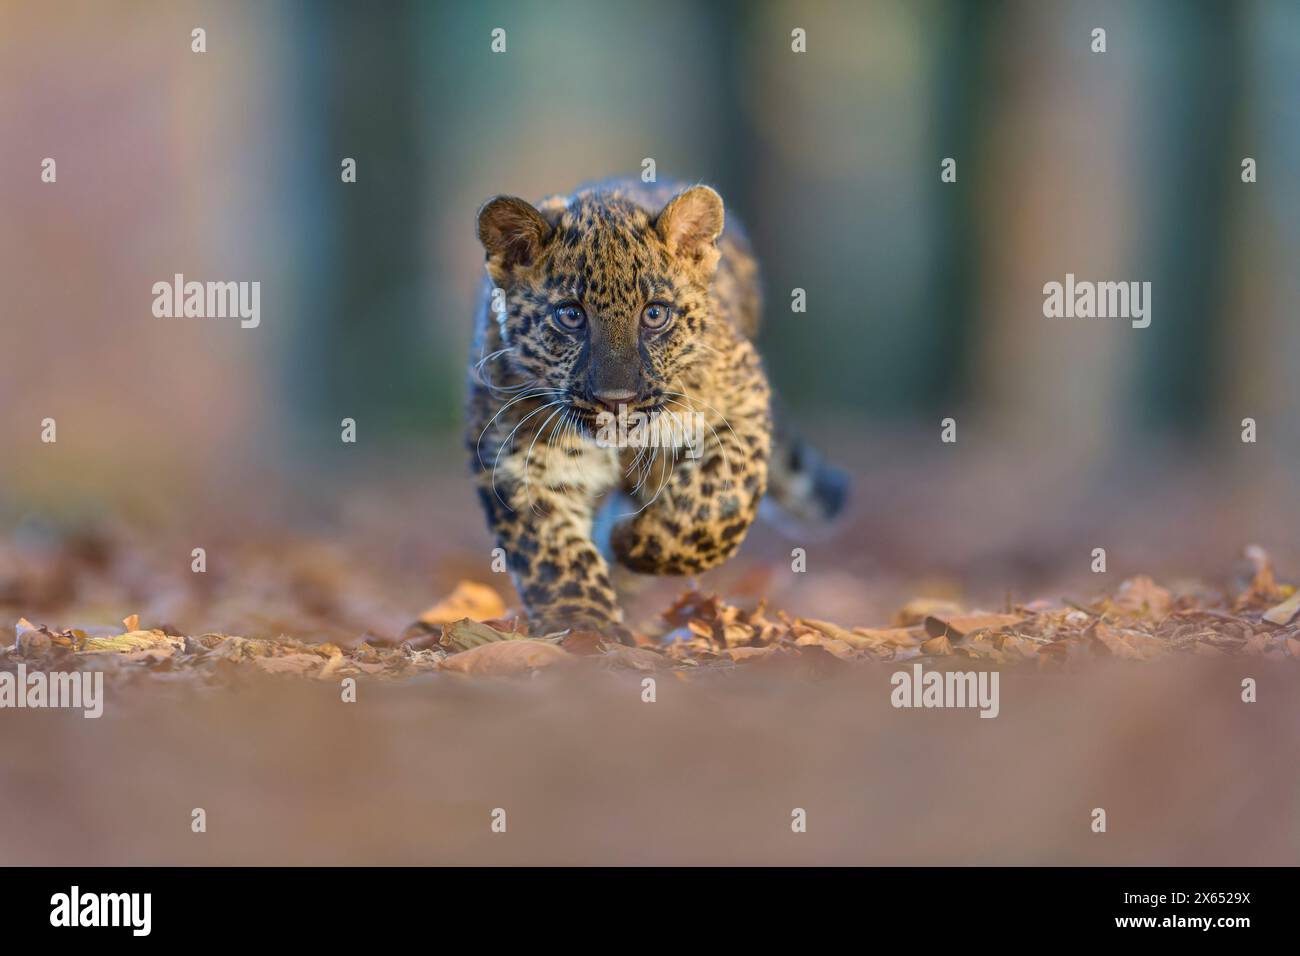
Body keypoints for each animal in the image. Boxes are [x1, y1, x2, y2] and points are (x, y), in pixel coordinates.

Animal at [466, 179, 845, 640]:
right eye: (570, 315)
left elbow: (718, 503)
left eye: (655, 314)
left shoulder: (744, 405)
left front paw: (631, 540)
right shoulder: (516, 453)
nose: (617, 398)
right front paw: (582, 619)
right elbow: (550, 547)